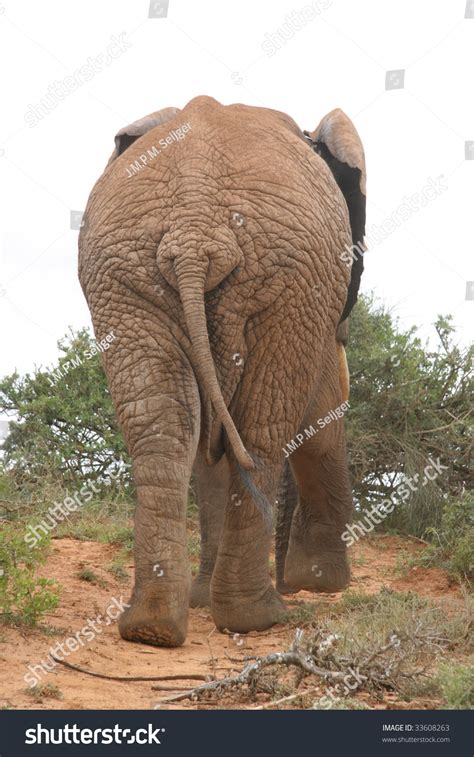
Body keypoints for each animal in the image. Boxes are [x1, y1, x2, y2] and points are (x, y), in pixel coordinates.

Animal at [78, 95, 366, 647]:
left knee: (164, 426)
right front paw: (321, 583)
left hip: (121, 274)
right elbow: (322, 413)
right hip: (293, 278)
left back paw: (152, 627)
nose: (292, 580)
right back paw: (257, 616)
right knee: (263, 427)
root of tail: (194, 229)